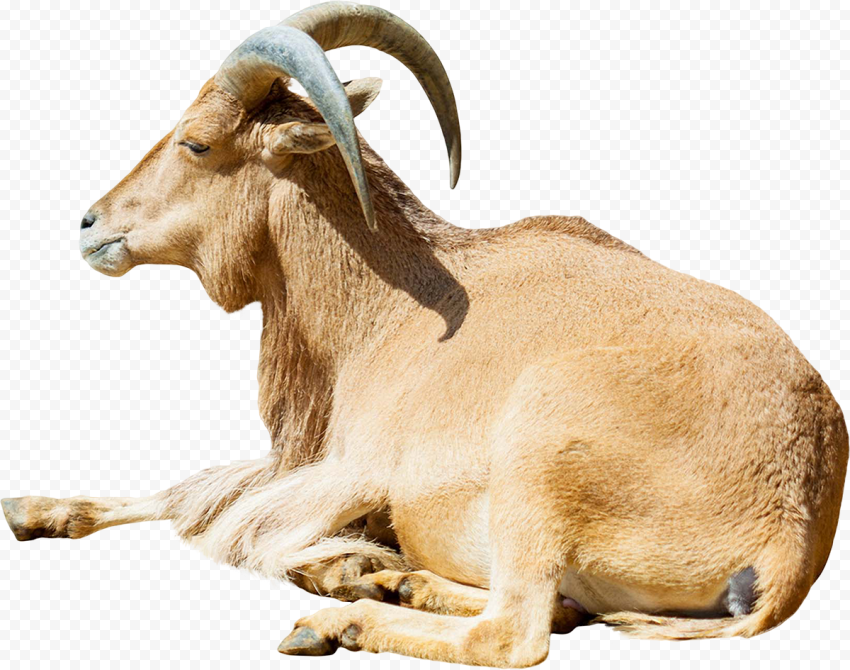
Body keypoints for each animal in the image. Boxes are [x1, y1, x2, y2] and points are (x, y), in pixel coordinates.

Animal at [3, 3, 847, 666]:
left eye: (197, 142)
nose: (89, 225)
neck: (392, 308)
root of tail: (788, 531)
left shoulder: (356, 468)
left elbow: (230, 530)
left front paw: (339, 570)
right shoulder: (308, 456)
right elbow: (190, 490)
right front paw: (36, 508)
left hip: (538, 453)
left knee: (517, 631)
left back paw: (339, 617)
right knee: (556, 608)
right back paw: (391, 579)